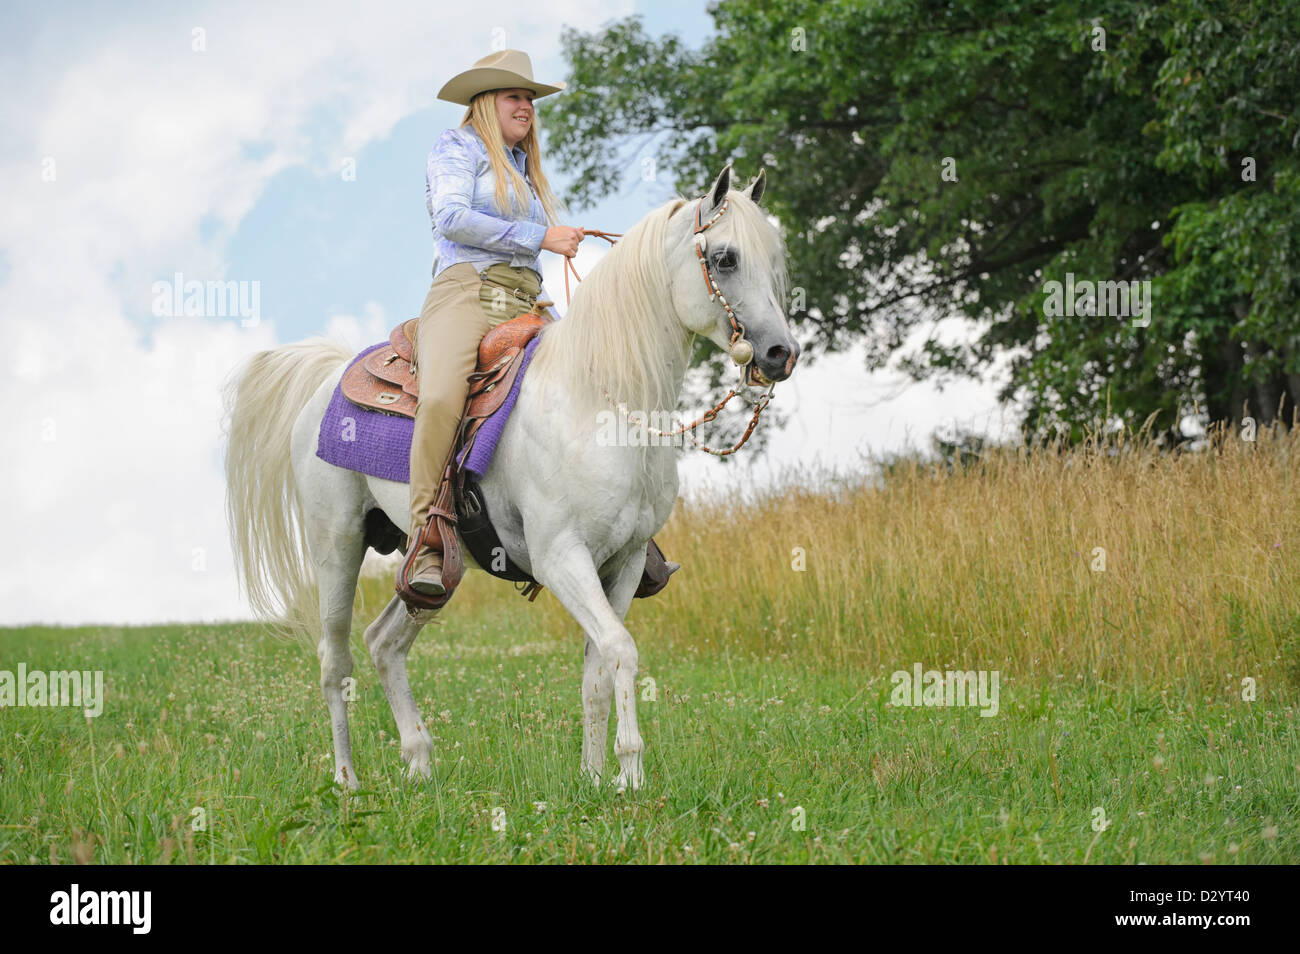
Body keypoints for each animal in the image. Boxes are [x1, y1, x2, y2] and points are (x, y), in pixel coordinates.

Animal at [221, 163, 799, 792]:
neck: (599, 398)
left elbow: (597, 668)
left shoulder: (623, 564)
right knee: (336, 659)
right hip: (337, 545)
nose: (781, 353)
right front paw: (630, 773)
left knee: (384, 642)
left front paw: (594, 778)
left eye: (774, 258)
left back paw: (420, 761)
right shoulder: (561, 555)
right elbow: (621, 650)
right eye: (724, 257)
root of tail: (331, 377)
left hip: (432, 565)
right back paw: (348, 780)